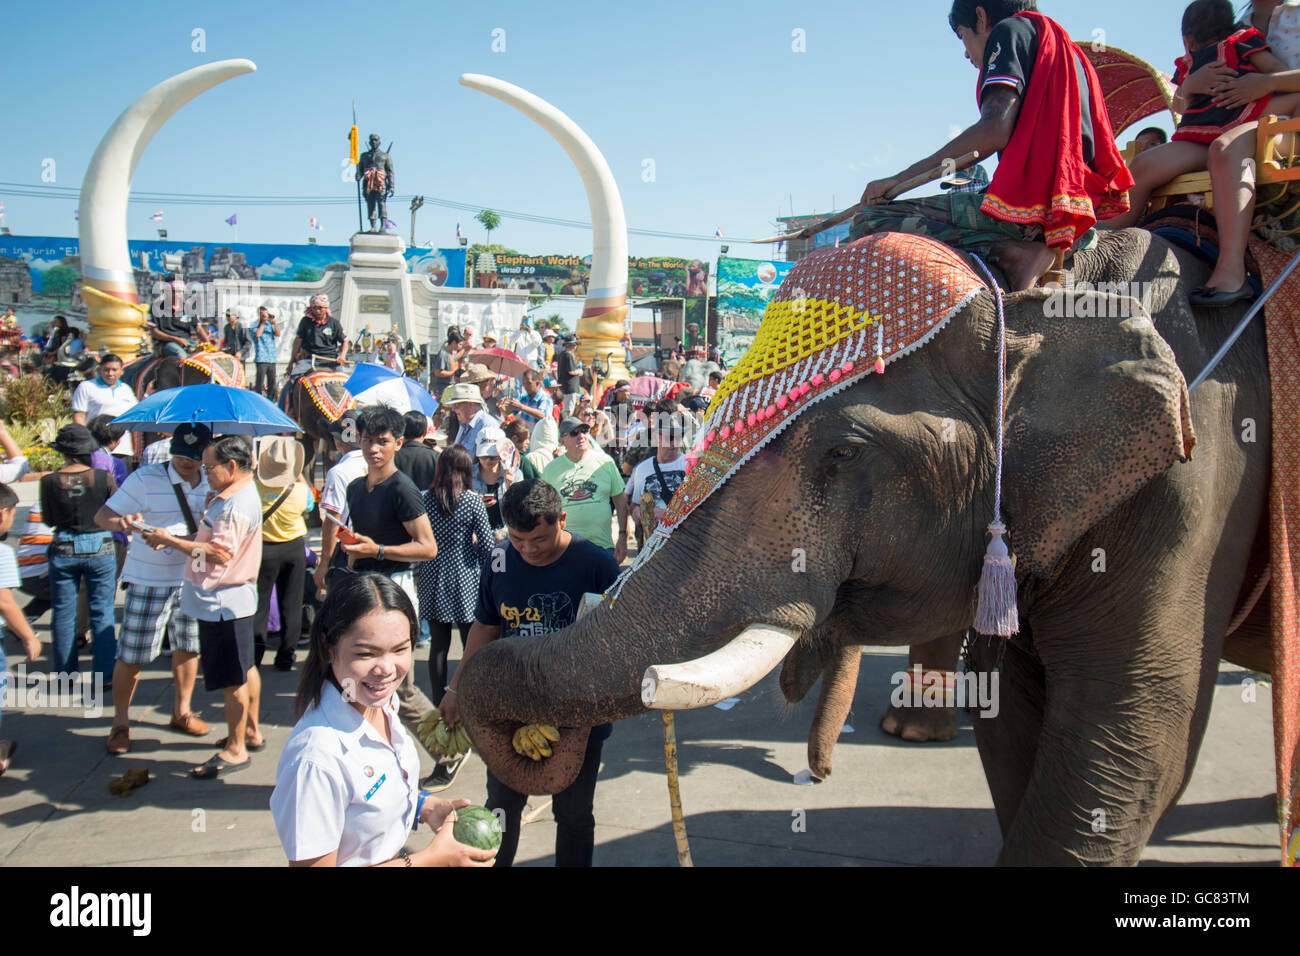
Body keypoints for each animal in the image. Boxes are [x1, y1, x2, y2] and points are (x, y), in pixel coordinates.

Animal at [455, 226, 1274, 865]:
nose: (816, 776)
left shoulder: (1194, 490)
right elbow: (1009, 720)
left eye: (845, 452)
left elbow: (1134, 739)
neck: (1044, 298)